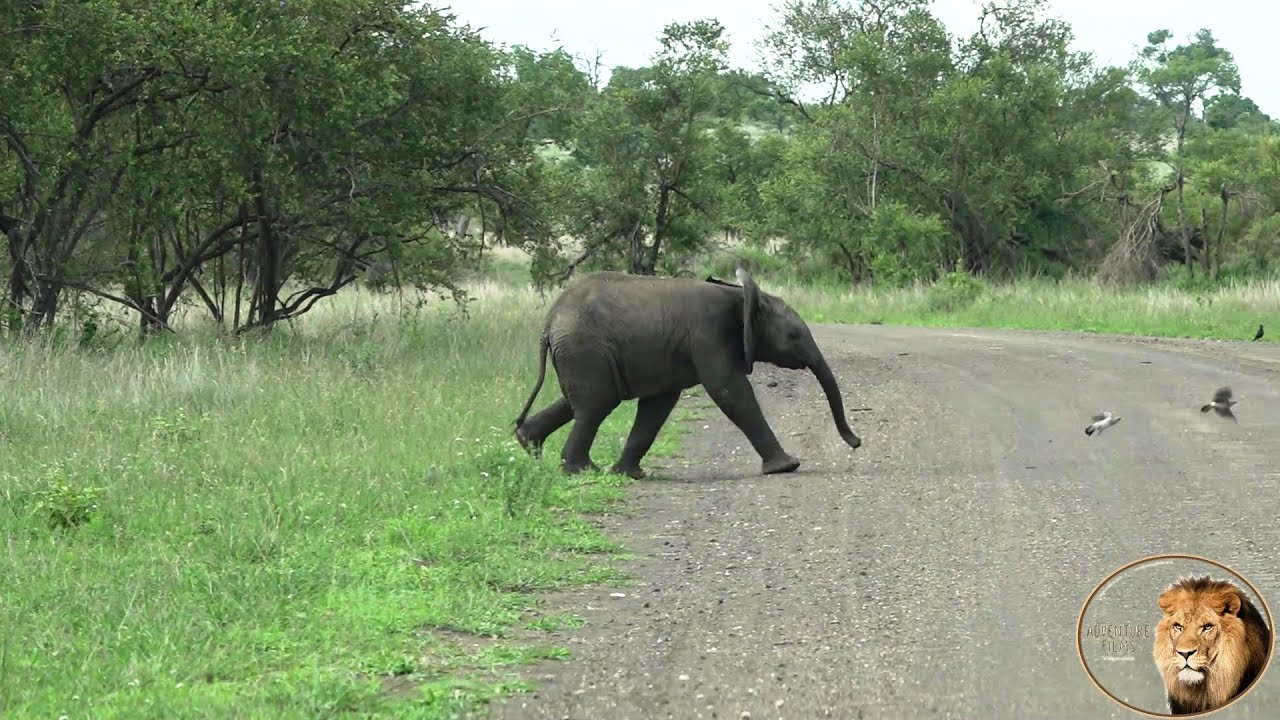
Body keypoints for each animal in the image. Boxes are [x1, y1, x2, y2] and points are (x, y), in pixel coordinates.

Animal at [511, 267, 863, 479]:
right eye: (793, 336)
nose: (856, 442)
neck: (740, 296)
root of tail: (549, 320)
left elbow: (658, 405)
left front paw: (630, 475)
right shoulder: (709, 333)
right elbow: (729, 391)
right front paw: (787, 467)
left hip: (580, 353)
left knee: (581, 400)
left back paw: (528, 443)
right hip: (584, 348)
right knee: (596, 404)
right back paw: (583, 470)